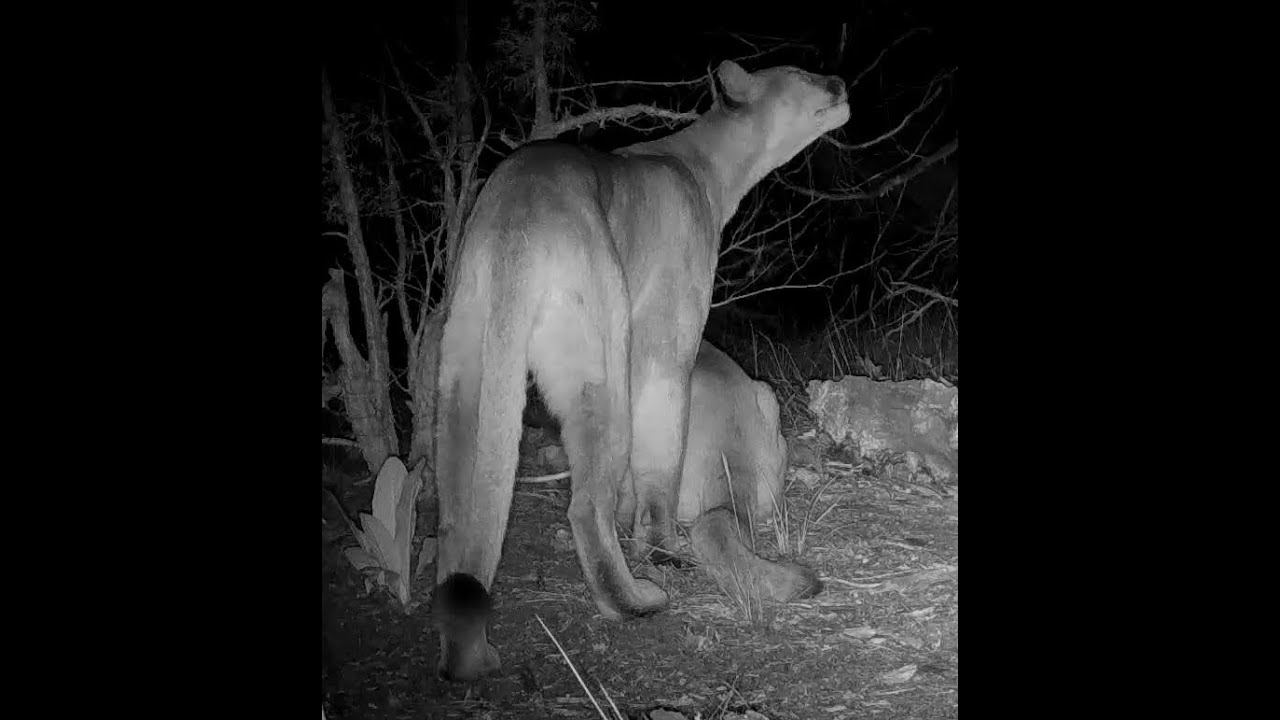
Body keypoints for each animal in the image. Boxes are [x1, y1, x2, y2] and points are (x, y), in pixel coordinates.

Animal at [433, 60, 849, 680]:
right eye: (804, 75)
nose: (840, 84)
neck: (704, 164)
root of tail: (516, 223)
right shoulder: (666, 341)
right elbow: (661, 455)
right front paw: (658, 547)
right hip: (603, 362)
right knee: (587, 504)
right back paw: (632, 600)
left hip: (464, 363)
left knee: (460, 509)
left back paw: (465, 643)